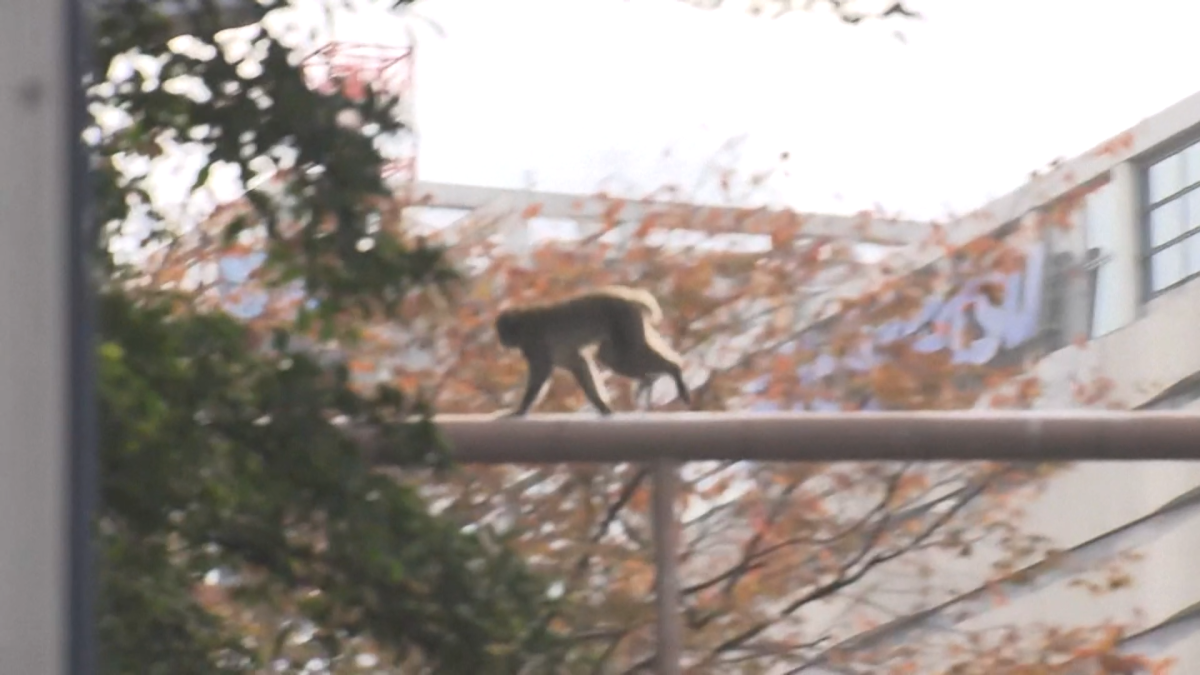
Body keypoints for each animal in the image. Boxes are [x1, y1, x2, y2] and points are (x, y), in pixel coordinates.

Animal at [494, 285, 691, 417]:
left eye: (503, 332)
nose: (501, 340)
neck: (524, 321)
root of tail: (629, 299)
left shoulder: (534, 343)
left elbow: (542, 372)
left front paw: (521, 409)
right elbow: (578, 363)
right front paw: (602, 406)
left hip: (624, 320)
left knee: (625, 357)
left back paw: (673, 369)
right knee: (611, 357)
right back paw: (648, 380)